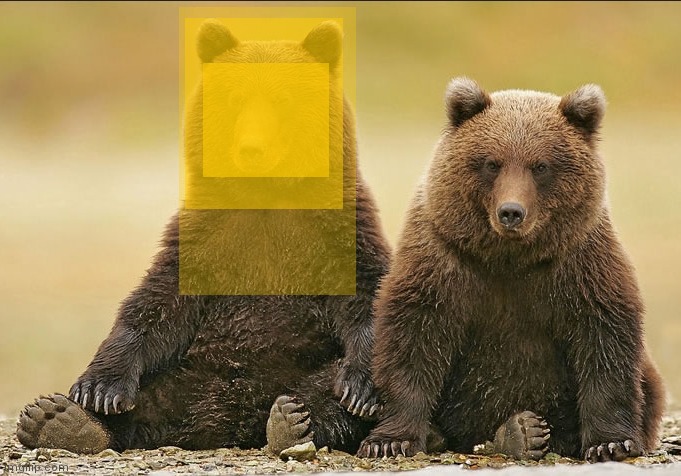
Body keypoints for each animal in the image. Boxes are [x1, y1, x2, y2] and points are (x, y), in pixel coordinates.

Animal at [16, 19, 388, 455]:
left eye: (283, 98)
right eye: (235, 97)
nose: (253, 148)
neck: (264, 194)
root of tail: (225, 421)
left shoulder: (339, 229)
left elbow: (366, 292)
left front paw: (360, 388)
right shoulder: (205, 232)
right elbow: (157, 301)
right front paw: (98, 387)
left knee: (326, 386)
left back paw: (293, 420)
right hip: (185, 372)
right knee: (147, 398)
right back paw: (60, 419)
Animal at [357, 77, 666, 463]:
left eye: (541, 165)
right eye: (492, 162)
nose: (511, 211)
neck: (510, 257)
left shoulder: (579, 261)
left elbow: (602, 337)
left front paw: (610, 442)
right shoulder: (445, 257)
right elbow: (414, 335)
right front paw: (390, 439)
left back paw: (523, 432)